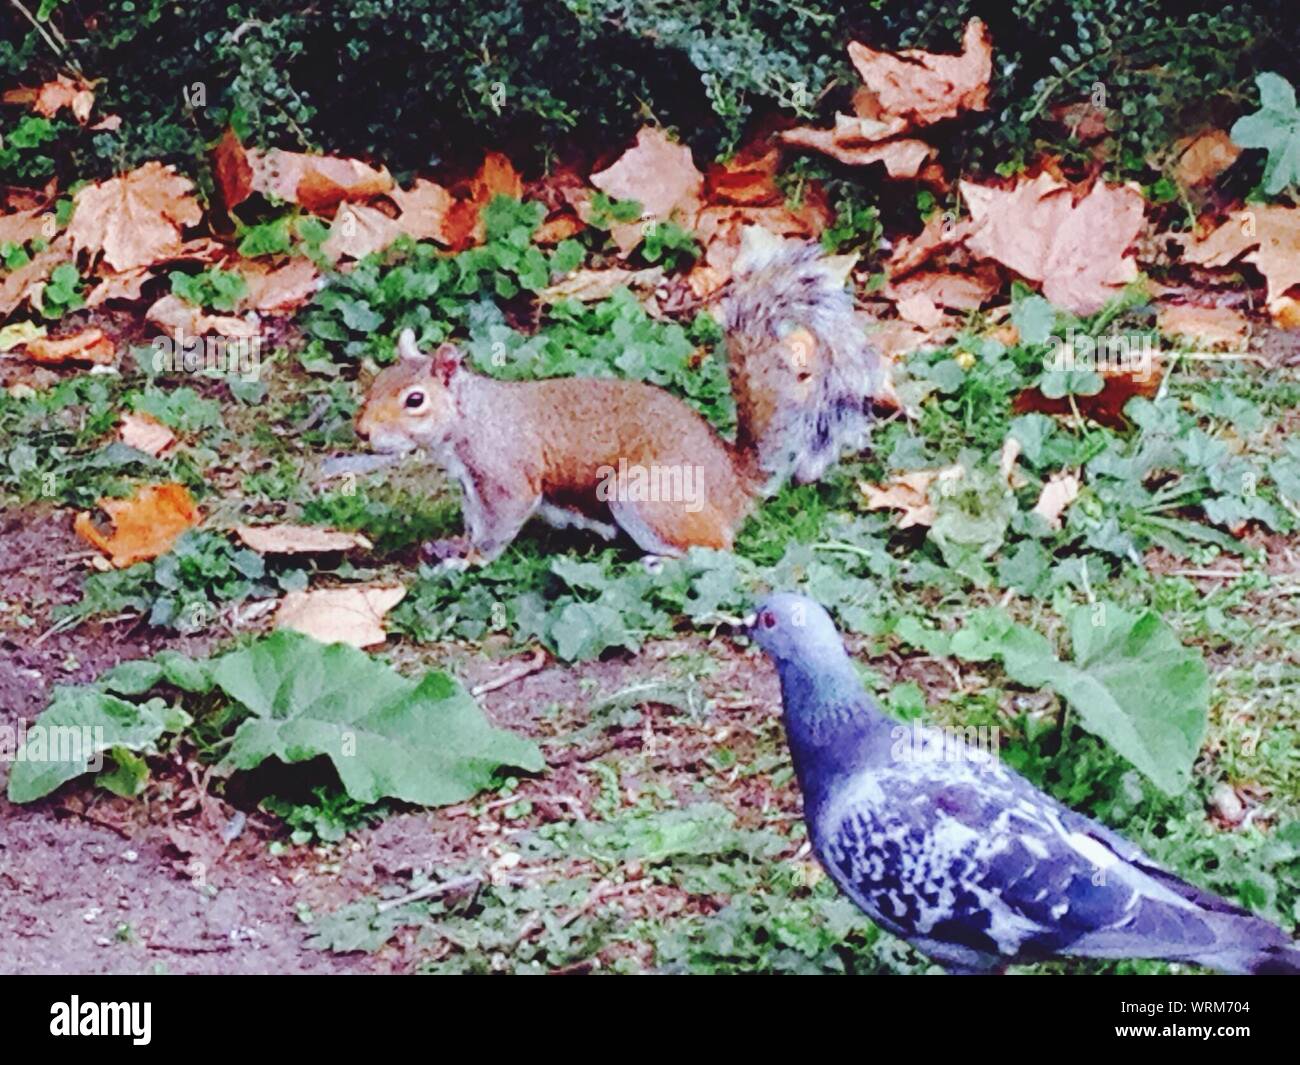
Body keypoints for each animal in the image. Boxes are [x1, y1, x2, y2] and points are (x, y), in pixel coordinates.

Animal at [355, 226, 880, 561]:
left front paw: (469, 560)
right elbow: (473, 522)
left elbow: (499, 525)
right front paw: (452, 546)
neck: (470, 417)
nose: (361, 432)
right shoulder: (471, 488)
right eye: (375, 382)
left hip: (644, 495)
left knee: (716, 549)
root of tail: (734, 483)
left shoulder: (504, 477)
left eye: (415, 400)